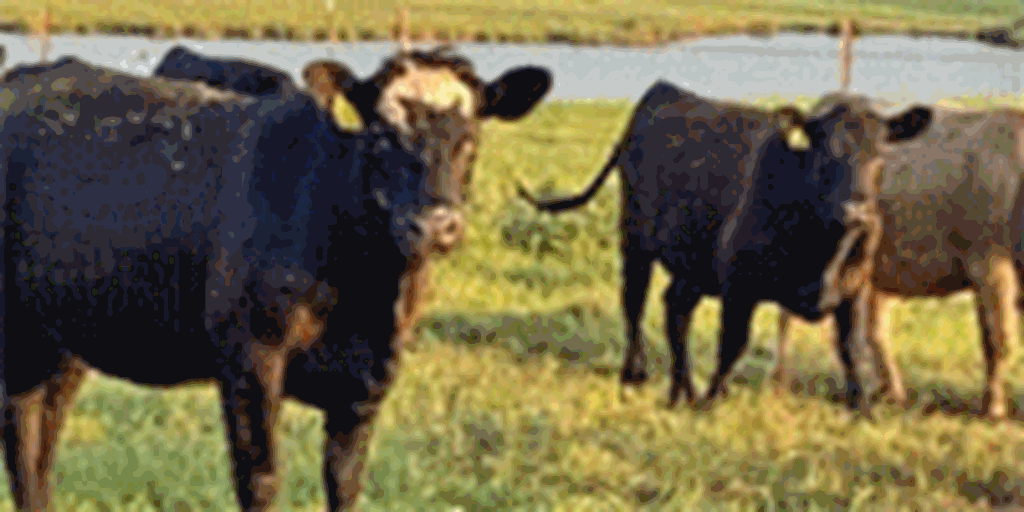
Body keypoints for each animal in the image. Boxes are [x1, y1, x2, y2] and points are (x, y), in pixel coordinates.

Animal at [0, 56, 460, 511]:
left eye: (468, 138)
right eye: (382, 135)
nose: (433, 225)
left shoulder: (367, 382)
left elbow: (344, 483)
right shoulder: (250, 363)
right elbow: (260, 480)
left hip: (63, 343)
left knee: (42, 442)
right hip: (20, 339)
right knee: (22, 439)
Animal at [516, 82, 931, 412]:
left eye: (880, 157)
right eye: (824, 155)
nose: (857, 211)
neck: (823, 254)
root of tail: (662, 91)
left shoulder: (855, 288)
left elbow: (850, 348)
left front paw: (862, 408)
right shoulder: (738, 286)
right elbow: (732, 344)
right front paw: (713, 399)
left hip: (692, 264)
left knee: (675, 309)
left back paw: (680, 392)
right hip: (634, 240)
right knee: (634, 302)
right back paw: (636, 374)